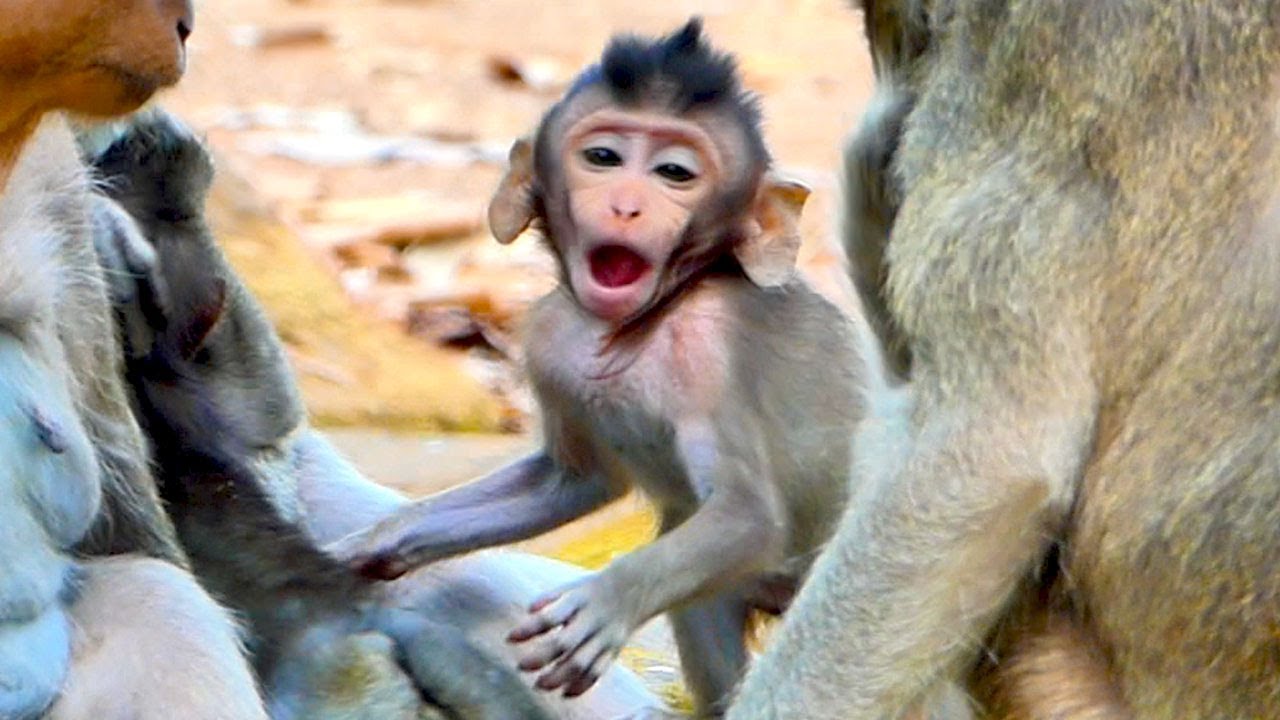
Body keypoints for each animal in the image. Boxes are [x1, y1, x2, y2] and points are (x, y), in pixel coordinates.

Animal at [328, 19, 870, 717]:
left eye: (674, 173)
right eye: (604, 158)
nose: (626, 205)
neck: (632, 330)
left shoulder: (708, 349)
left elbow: (749, 515)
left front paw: (608, 599)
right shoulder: (550, 344)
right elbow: (575, 481)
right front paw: (378, 540)